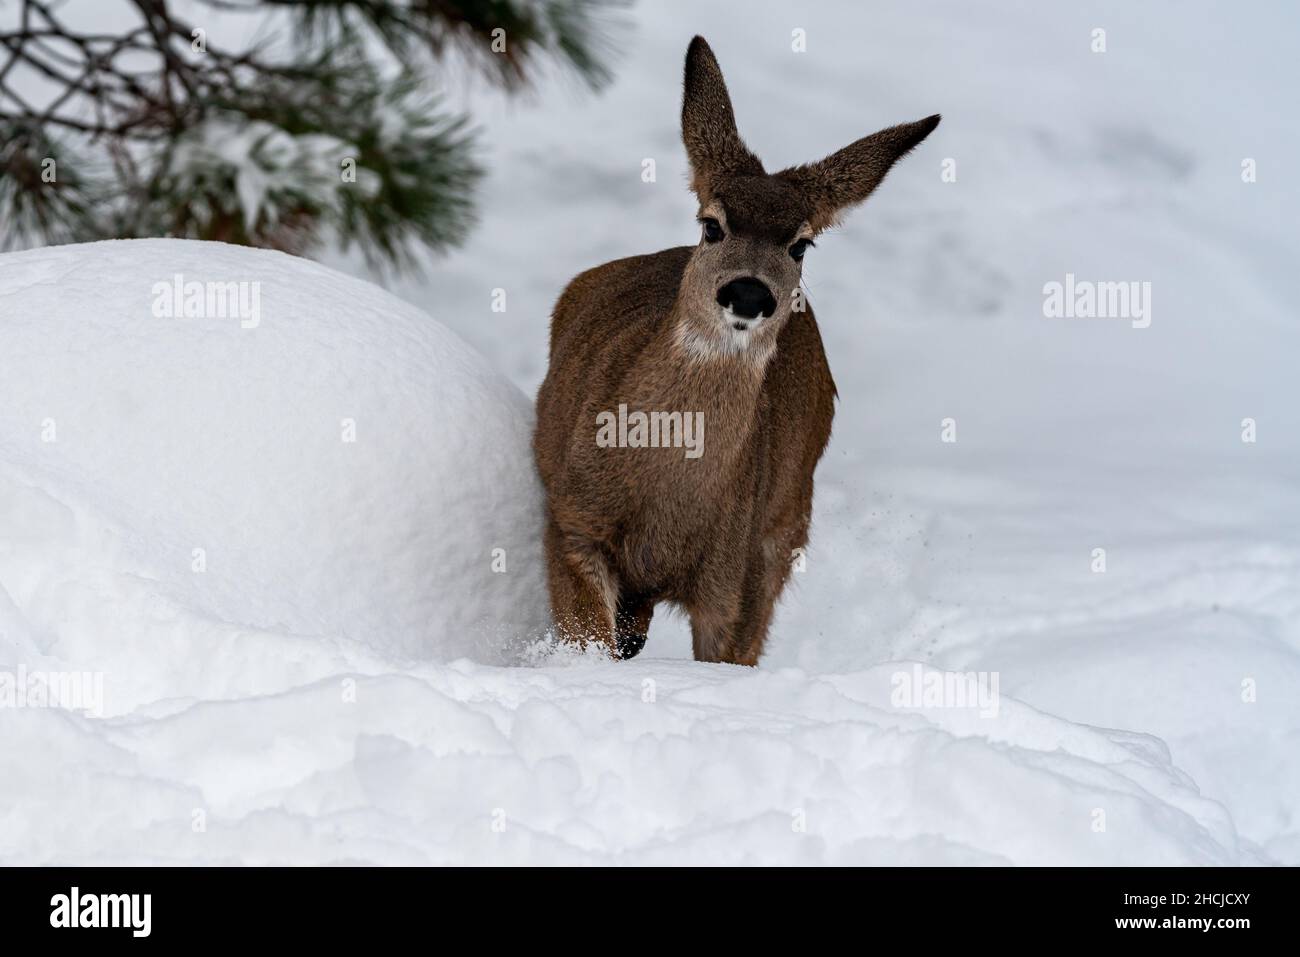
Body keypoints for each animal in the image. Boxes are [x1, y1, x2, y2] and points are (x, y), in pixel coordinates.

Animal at [533, 36, 939, 665]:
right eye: (712, 225)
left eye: (801, 244)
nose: (749, 293)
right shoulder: (573, 523)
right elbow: (587, 641)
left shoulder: (734, 576)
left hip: (787, 518)